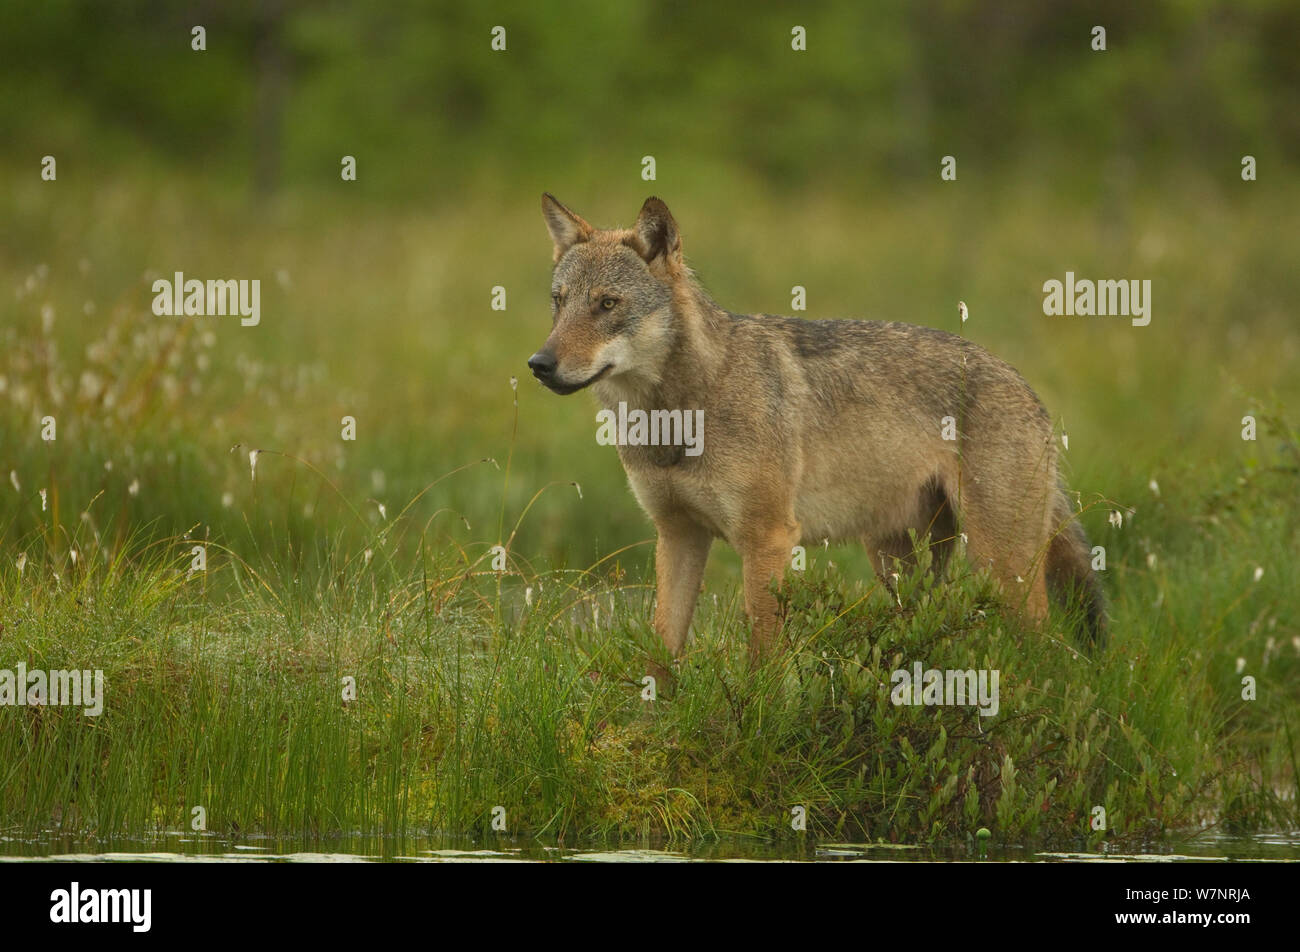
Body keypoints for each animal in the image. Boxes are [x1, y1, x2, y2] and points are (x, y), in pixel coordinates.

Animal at [528, 194, 1106, 671]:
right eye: (559, 301)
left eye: (607, 304)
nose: (539, 364)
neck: (678, 415)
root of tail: (1027, 387)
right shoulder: (677, 534)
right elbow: (661, 653)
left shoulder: (768, 539)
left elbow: (761, 658)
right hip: (898, 562)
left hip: (998, 566)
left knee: (1046, 648)